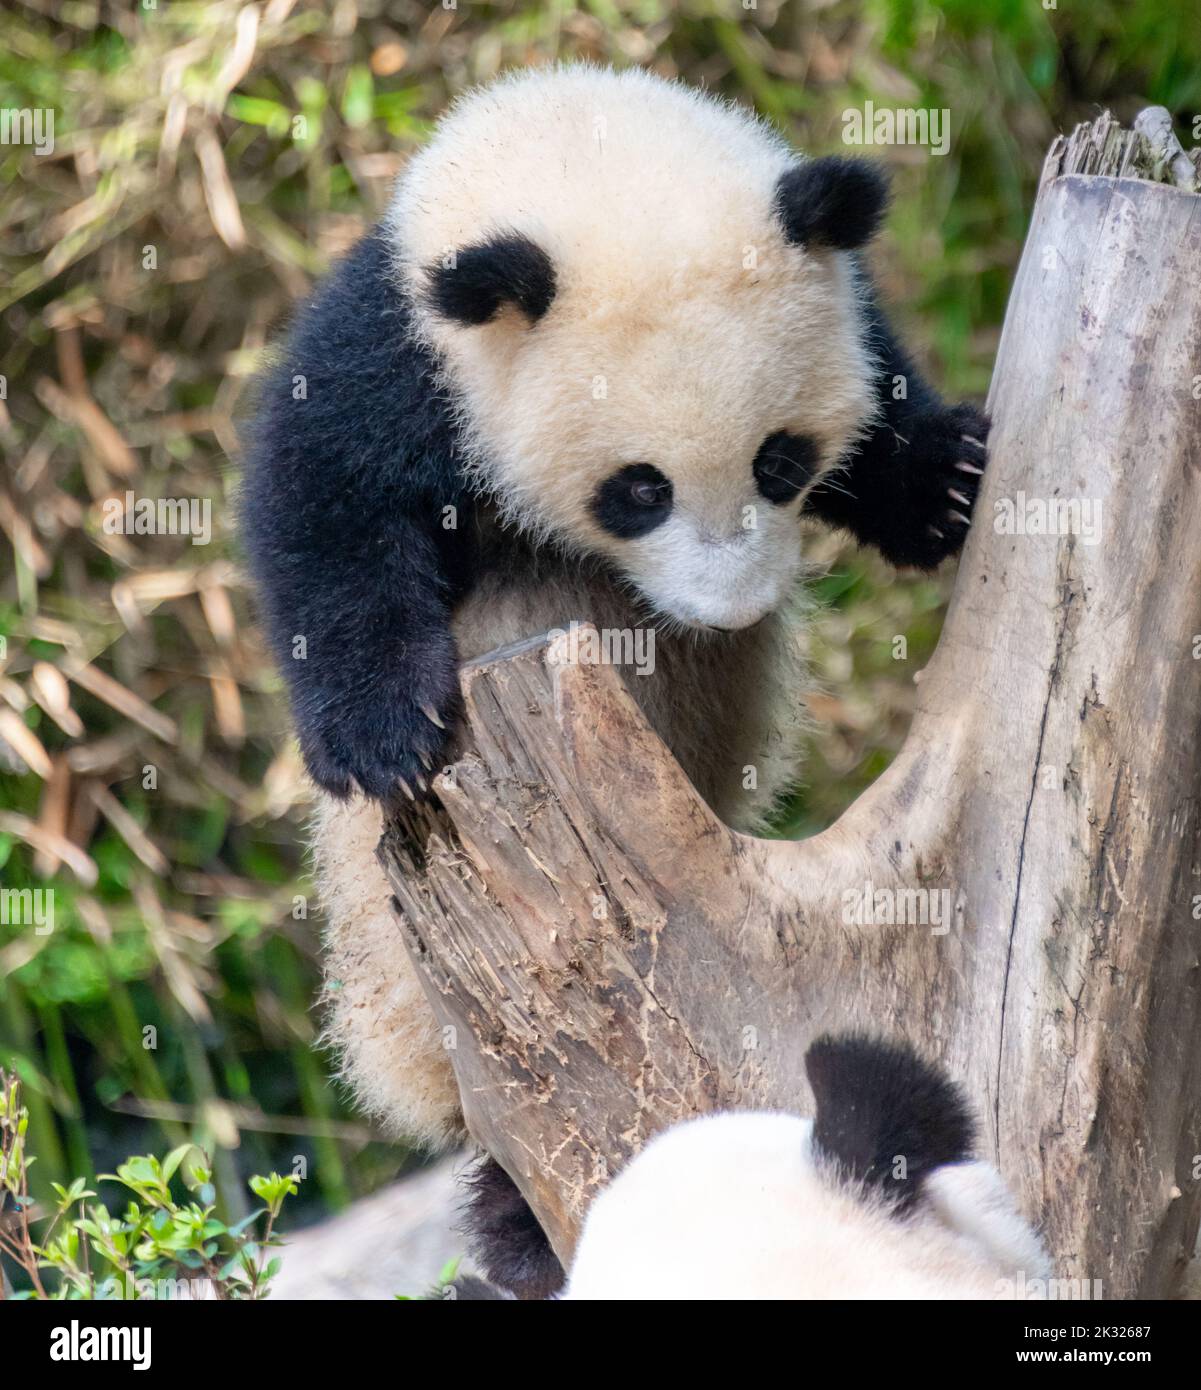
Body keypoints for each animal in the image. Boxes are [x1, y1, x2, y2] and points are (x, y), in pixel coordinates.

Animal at [240, 65, 990, 1270]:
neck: (569, 147)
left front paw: (944, 482)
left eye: (780, 460)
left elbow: (880, 389)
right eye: (638, 490)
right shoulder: (393, 350)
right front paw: (380, 733)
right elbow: (324, 508)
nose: (729, 609)